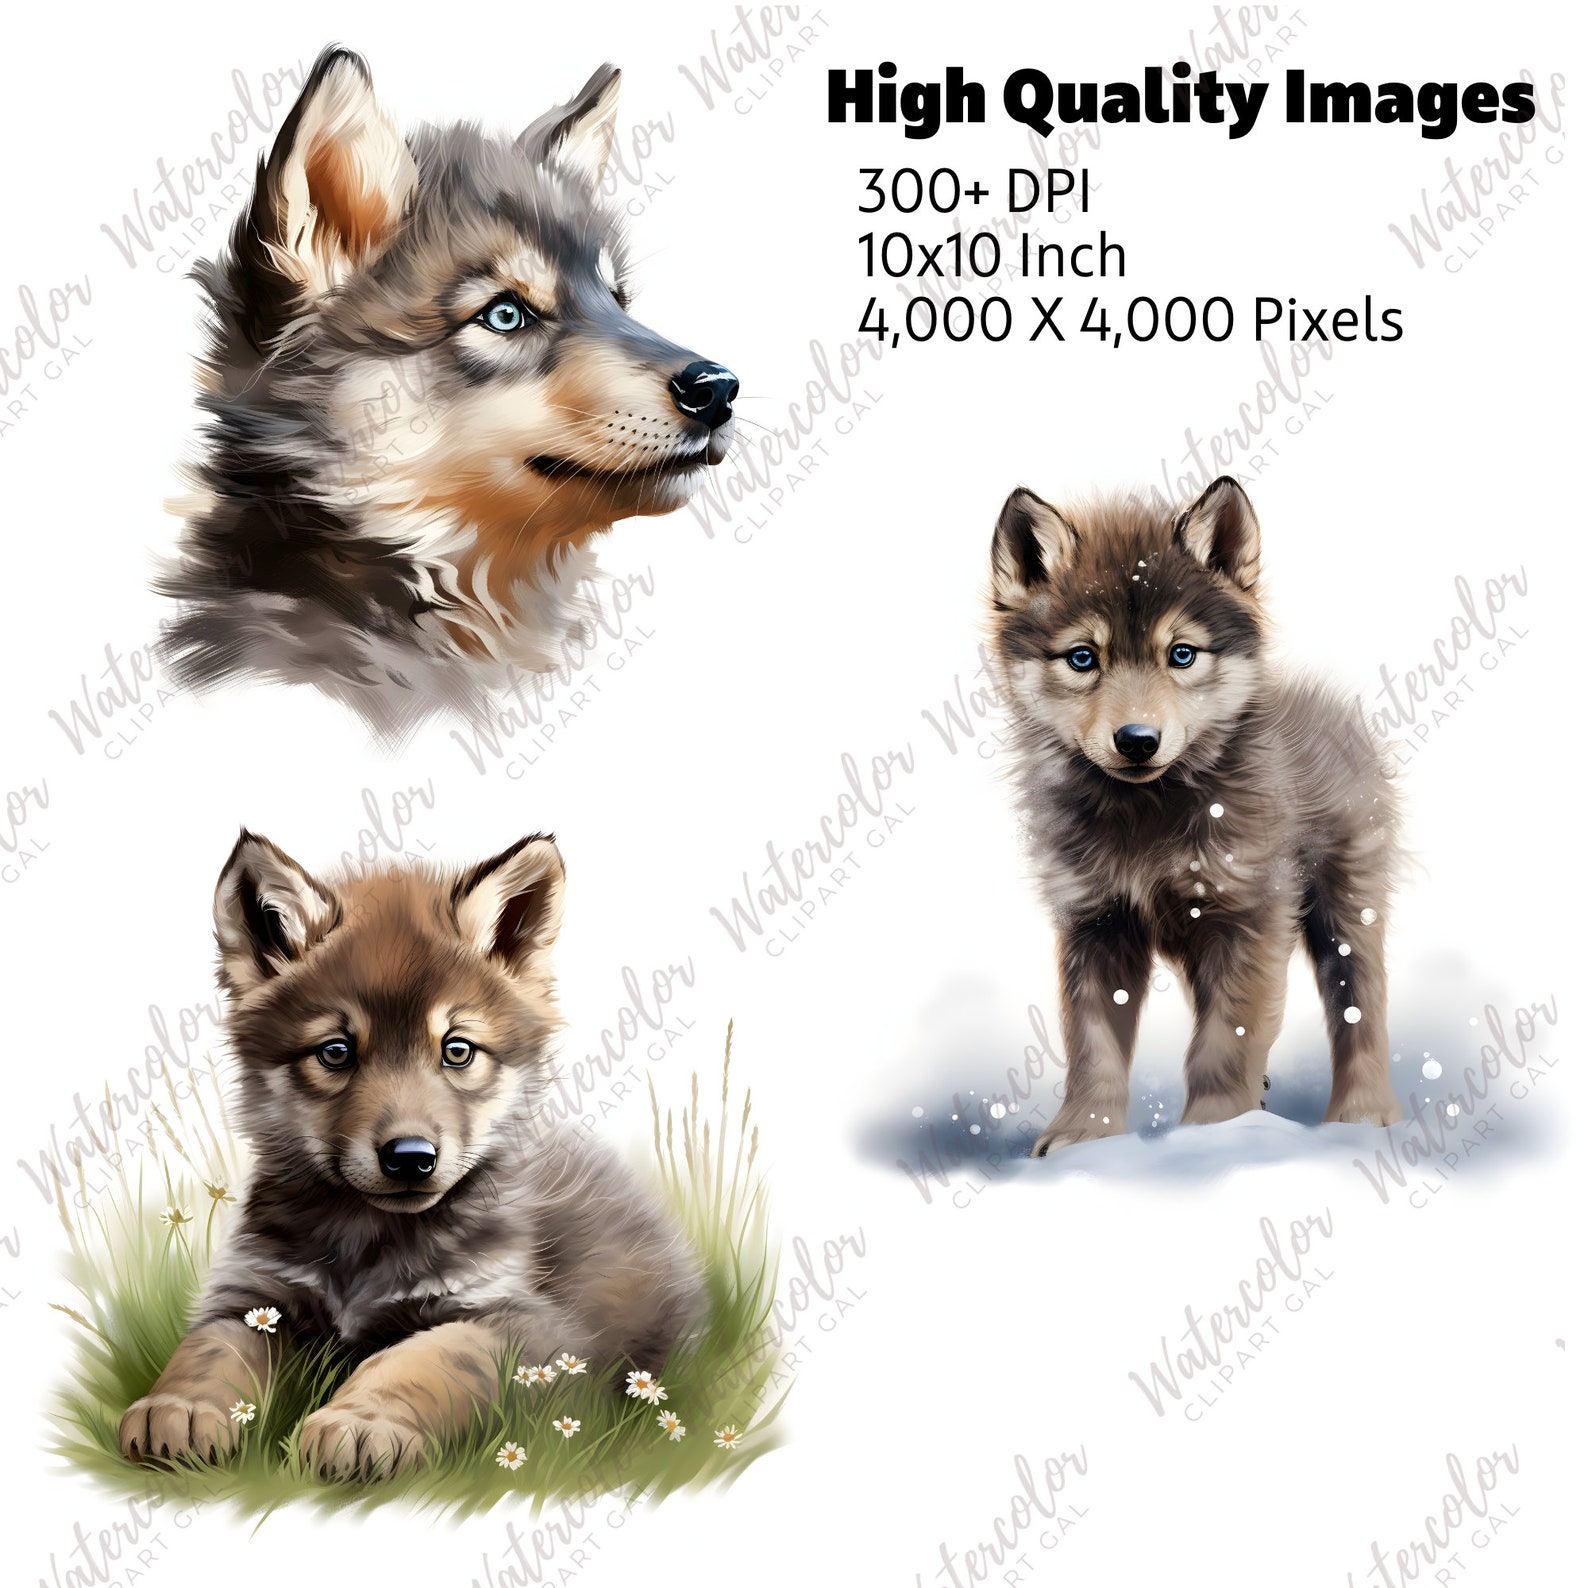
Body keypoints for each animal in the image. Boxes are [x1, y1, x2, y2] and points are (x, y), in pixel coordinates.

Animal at [118, 832, 703, 1479]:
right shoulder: (254, 1297)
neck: (364, 1247)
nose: (410, 1157)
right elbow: (209, 1350)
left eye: (457, 1050)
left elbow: (421, 1356)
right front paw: (180, 1406)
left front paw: (362, 1421)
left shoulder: (522, 1327)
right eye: (336, 1051)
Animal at [986, 476, 1404, 1157]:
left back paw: (1363, 1112)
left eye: (1181, 654)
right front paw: (1084, 1135)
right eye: (1082, 658)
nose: (1137, 740)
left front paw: (1213, 1134)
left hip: (1344, 912)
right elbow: (1093, 1045)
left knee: (1360, 1008)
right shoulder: (1096, 923)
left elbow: (1222, 1042)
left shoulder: (1249, 917)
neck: (1145, 815)